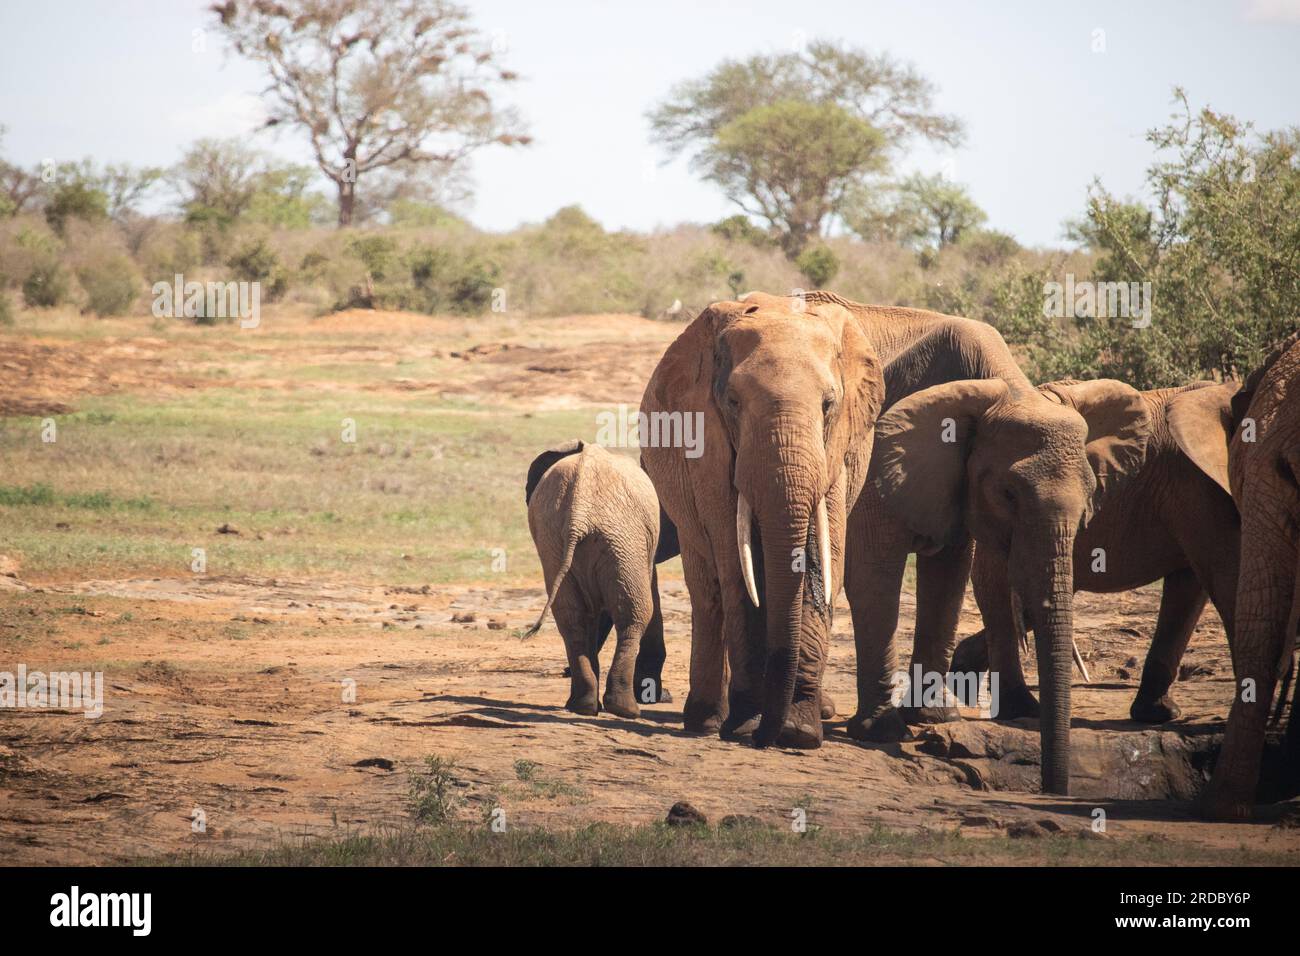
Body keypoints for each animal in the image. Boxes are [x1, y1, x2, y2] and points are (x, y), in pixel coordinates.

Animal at [524, 440, 667, 719]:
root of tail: (579, 513)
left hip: (558, 542)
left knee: (571, 618)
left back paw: (583, 706)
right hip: (622, 538)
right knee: (634, 614)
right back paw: (625, 710)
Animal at [640, 294, 885, 748]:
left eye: (828, 404)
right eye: (734, 403)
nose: (765, 737)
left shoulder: (837, 454)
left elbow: (825, 561)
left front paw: (798, 732)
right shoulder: (708, 446)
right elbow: (737, 571)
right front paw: (749, 725)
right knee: (708, 590)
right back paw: (706, 721)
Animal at [798, 292, 1151, 797]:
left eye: (1089, 498)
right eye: (1009, 494)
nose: (1052, 788)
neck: (1008, 388)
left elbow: (949, 577)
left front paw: (934, 717)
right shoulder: (881, 459)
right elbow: (873, 573)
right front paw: (882, 731)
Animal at [948, 379, 1241, 725]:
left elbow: (1192, 585)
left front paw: (1158, 714)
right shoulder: (1198, 486)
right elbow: (1223, 574)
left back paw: (965, 681)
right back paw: (1014, 707)